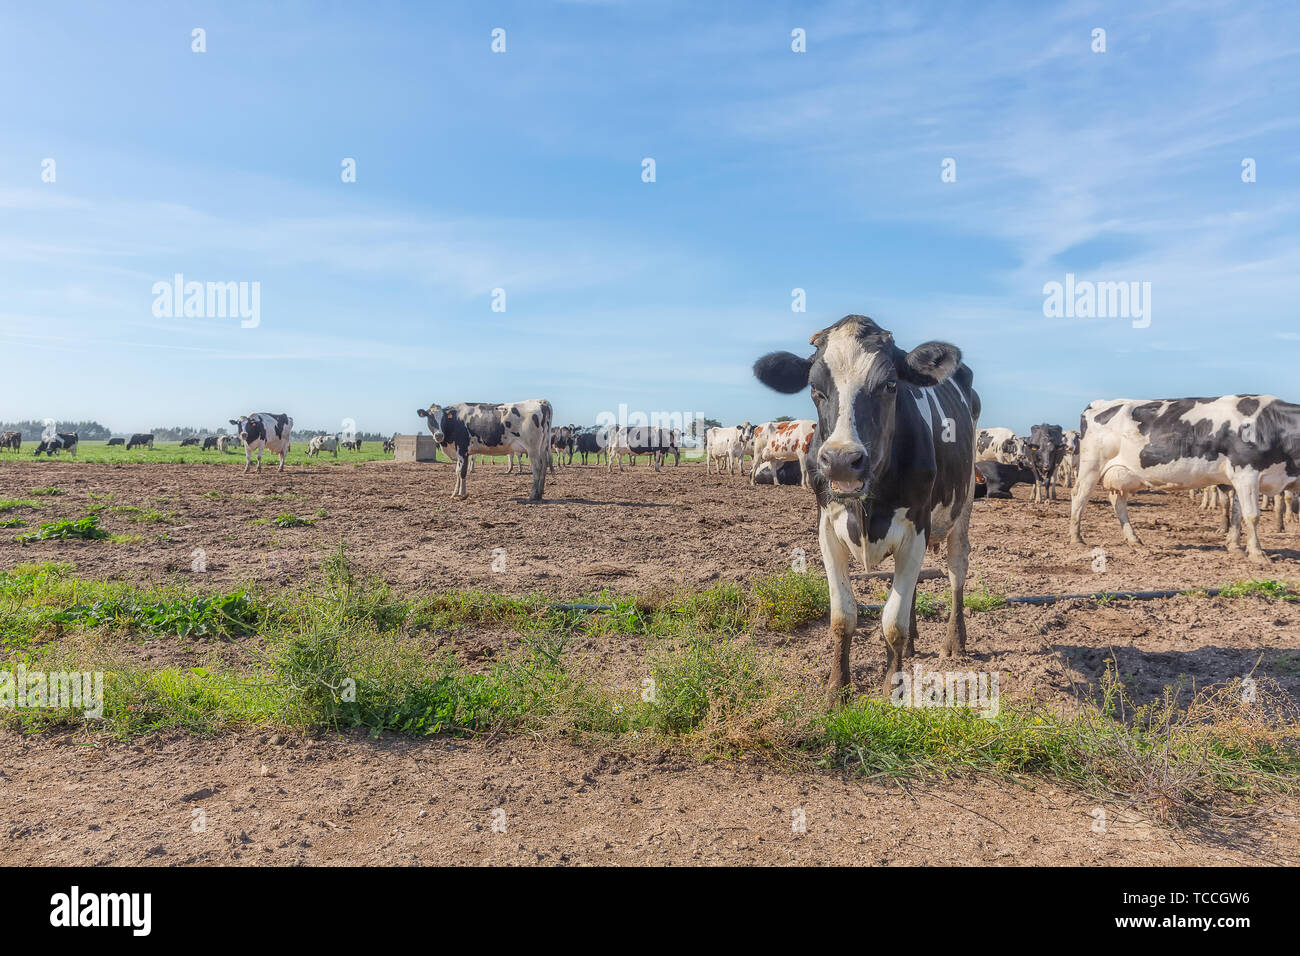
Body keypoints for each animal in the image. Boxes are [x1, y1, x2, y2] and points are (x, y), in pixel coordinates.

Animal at [417, 400, 552, 501]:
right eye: (430, 417)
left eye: (443, 418)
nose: (439, 435)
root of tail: (540, 402)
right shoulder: (464, 452)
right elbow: (461, 472)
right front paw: (460, 492)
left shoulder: (461, 449)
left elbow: (459, 471)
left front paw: (457, 493)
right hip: (542, 448)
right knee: (544, 466)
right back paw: (540, 493)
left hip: (532, 448)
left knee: (537, 468)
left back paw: (533, 495)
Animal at [754, 315, 979, 700]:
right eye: (814, 388)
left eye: (890, 384)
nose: (841, 461)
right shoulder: (826, 528)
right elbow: (843, 615)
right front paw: (837, 686)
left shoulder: (916, 526)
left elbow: (892, 621)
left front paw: (892, 687)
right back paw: (915, 643)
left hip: (963, 502)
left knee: (955, 569)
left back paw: (954, 641)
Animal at [1070, 395, 1300, 563]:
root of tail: (1100, 403)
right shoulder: (1246, 472)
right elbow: (1252, 515)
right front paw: (1257, 553)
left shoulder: (1240, 477)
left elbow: (1237, 514)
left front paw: (1235, 547)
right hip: (1091, 467)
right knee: (1079, 496)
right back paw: (1077, 538)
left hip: (1122, 475)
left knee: (1118, 503)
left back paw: (1133, 539)